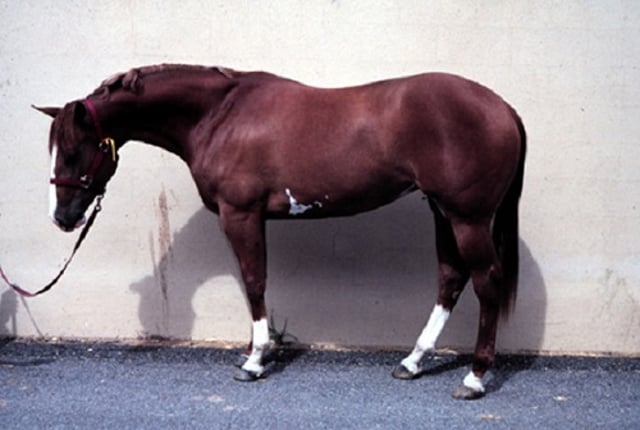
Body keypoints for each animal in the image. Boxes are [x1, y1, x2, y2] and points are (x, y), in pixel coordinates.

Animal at [36, 64, 526, 399]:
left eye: (75, 151)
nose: (63, 218)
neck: (219, 115)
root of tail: (503, 108)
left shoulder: (241, 214)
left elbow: (255, 283)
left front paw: (254, 361)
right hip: (443, 212)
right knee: (450, 279)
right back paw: (413, 361)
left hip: (467, 218)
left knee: (486, 283)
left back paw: (474, 378)